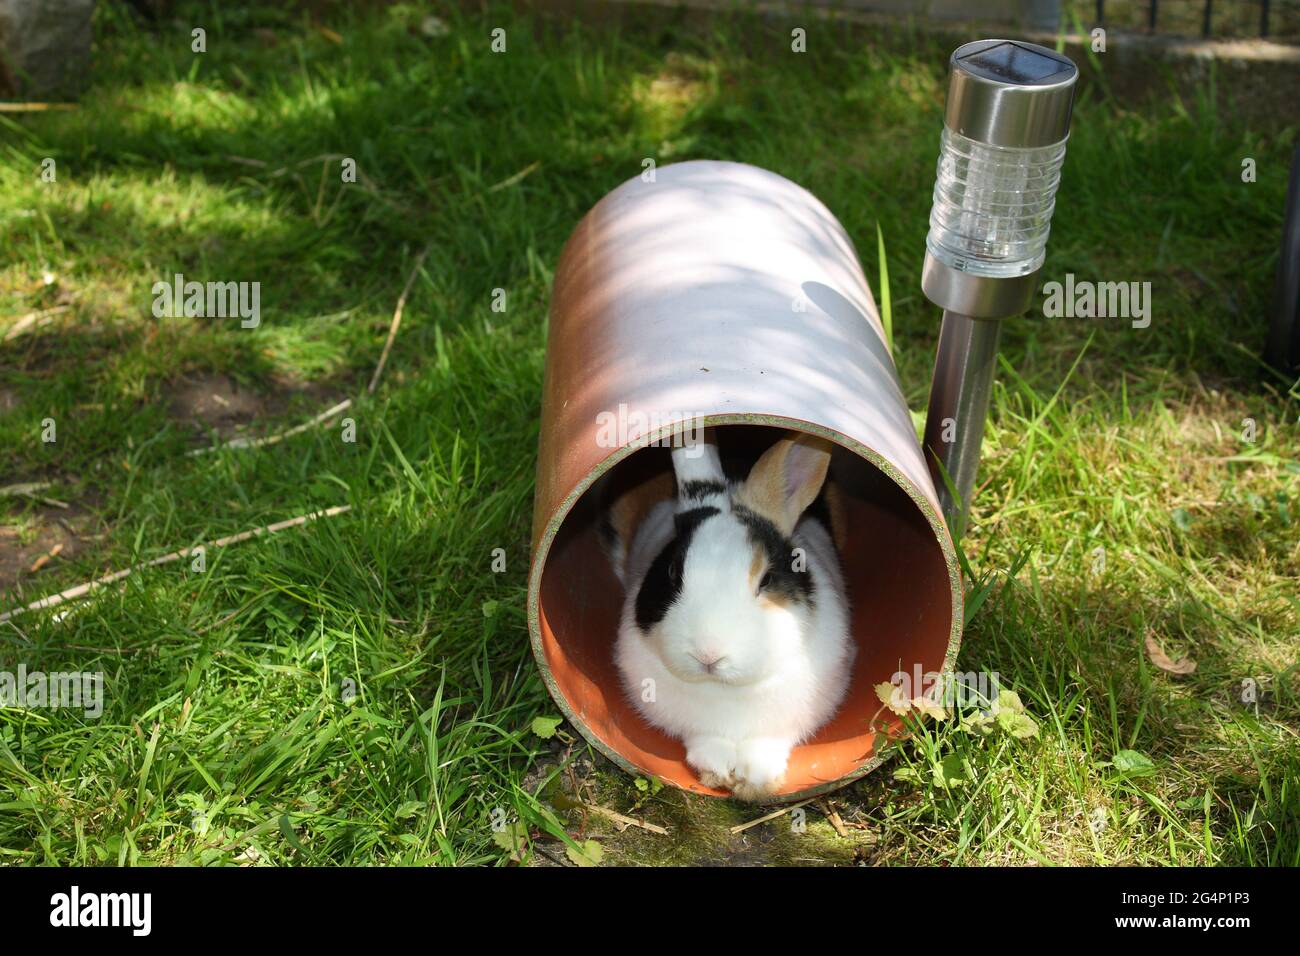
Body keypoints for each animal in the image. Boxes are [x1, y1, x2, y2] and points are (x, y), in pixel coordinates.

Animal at [606, 430, 854, 802]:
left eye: (766, 579)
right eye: (672, 571)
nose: (708, 654)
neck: (724, 689)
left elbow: (771, 743)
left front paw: (755, 780)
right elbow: (704, 741)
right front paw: (720, 772)